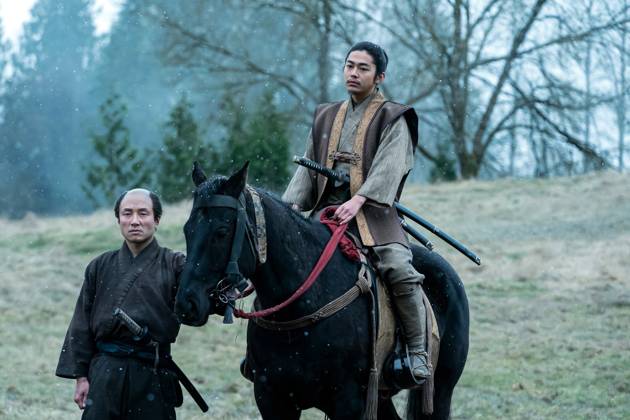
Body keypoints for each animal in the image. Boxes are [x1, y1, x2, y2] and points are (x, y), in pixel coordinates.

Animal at [175, 162, 469, 420]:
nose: (187, 303)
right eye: (187, 229)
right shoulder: (272, 399)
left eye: (222, 231)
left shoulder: (348, 401)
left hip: (441, 389)